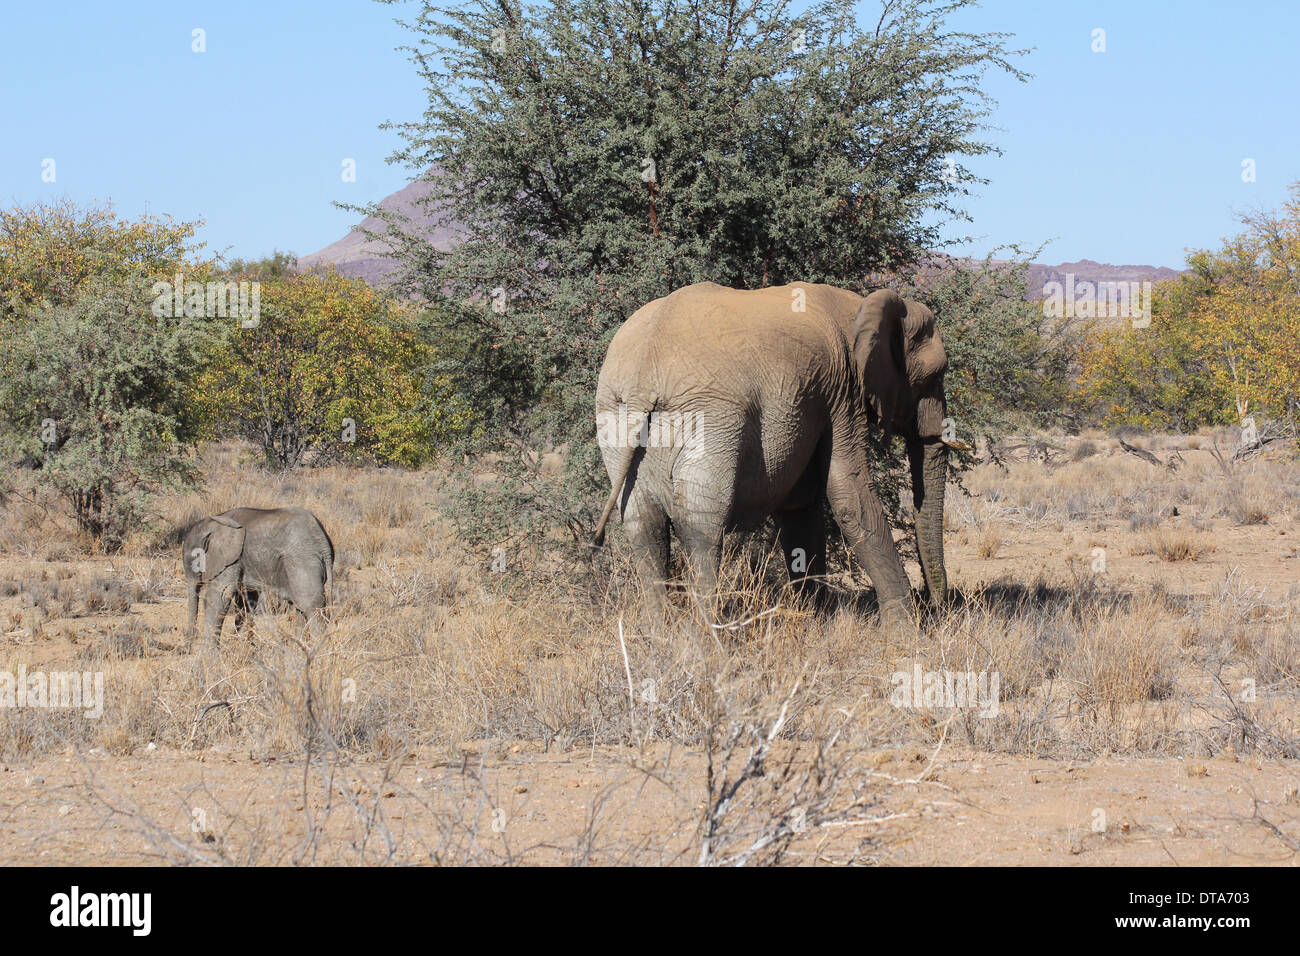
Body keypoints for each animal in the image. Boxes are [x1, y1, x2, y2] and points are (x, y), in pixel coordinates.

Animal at [180, 507, 334, 648]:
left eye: (193, 561)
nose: (187, 648)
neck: (215, 521)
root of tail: (325, 546)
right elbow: (247, 602)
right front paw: (243, 648)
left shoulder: (232, 558)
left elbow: (220, 595)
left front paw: (207, 654)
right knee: (299, 609)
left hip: (302, 562)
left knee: (311, 607)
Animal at [592, 281, 956, 623]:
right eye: (936, 376)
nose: (936, 605)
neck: (859, 305)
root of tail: (642, 379)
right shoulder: (843, 389)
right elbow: (848, 493)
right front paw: (906, 631)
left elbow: (800, 506)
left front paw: (813, 621)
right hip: (709, 416)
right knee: (701, 525)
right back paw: (704, 640)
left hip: (615, 420)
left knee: (643, 526)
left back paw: (661, 634)